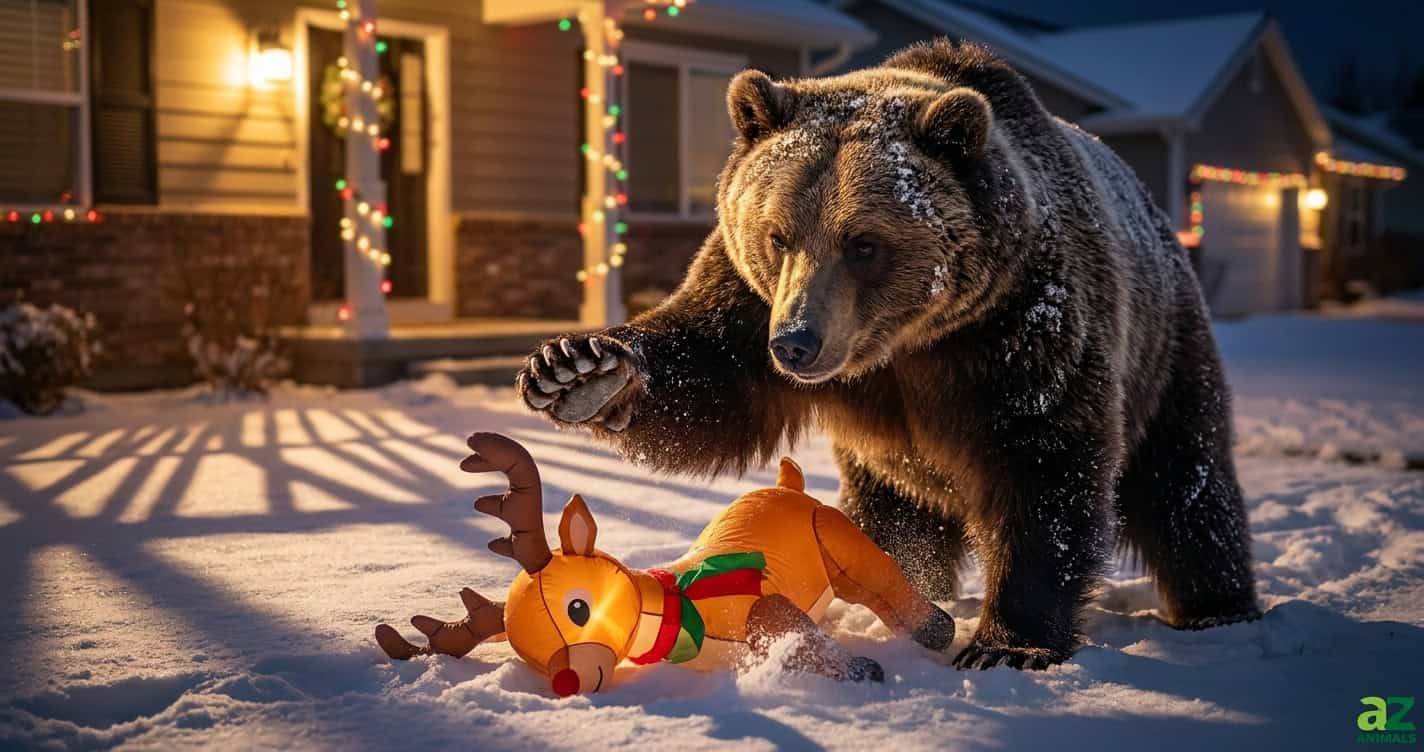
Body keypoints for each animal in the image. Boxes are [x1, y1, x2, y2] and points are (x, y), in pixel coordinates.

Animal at [514, 40, 1261, 670]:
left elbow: (1044, 461)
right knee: (898, 512)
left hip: (1166, 345)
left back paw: (1216, 607)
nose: (797, 342)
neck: (904, 344)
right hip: (887, 463)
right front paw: (580, 371)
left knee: (1186, 483)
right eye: (777, 234)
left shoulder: (1022, 324)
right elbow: (708, 375)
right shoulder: (750, 303)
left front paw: (1009, 643)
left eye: (864, 243)